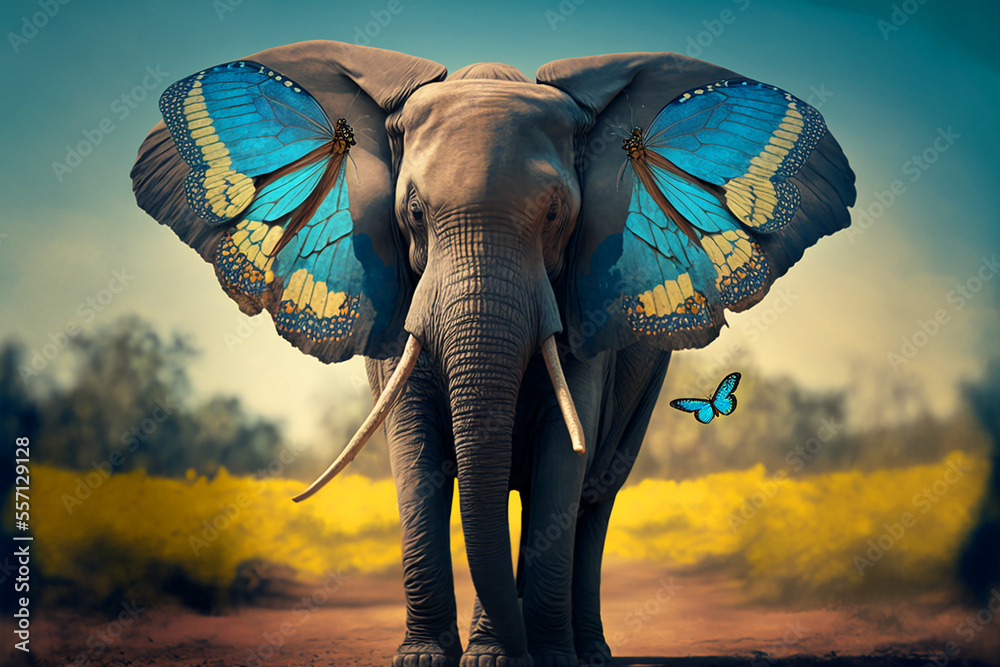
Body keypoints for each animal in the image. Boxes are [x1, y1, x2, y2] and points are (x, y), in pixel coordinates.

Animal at [131, 41, 855, 667]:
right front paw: (430, 659)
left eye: (558, 216)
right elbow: (416, 452)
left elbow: (563, 455)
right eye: (413, 214)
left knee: (594, 495)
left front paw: (523, 659)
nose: (518, 649)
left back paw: (585, 651)